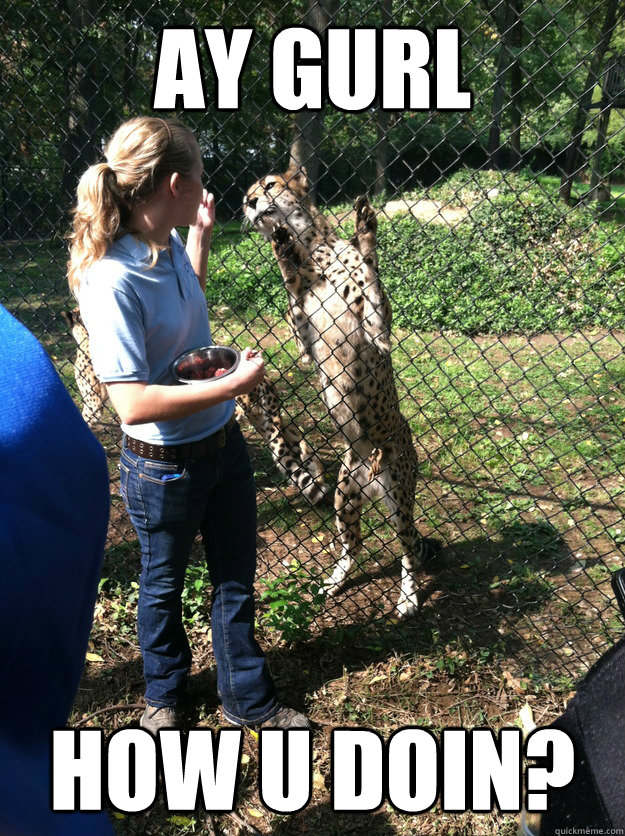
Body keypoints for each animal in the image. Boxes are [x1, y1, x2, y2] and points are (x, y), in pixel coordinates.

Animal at [61, 307, 327, 504]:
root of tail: (265, 381)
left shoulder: (93, 405)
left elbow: (82, 424)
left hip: (249, 414)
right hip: (264, 421)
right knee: (296, 436)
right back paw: (317, 473)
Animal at [244, 167, 437, 617]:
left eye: (270, 186)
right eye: (247, 195)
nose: (251, 204)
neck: (313, 251)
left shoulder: (378, 335)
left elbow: (369, 276)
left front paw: (365, 233)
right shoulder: (304, 345)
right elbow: (291, 286)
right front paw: (281, 251)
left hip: (398, 495)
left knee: (408, 551)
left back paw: (408, 597)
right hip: (345, 496)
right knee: (355, 544)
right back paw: (335, 580)